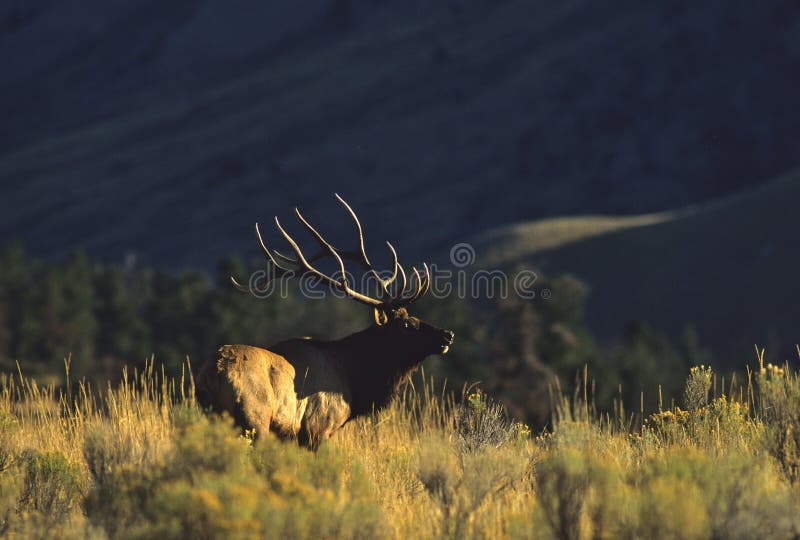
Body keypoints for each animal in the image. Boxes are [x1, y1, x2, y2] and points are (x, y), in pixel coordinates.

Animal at [195, 194, 454, 448]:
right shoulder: (318, 428)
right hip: (254, 419)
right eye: (405, 325)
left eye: (413, 316)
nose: (447, 334)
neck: (353, 380)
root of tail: (213, 372)